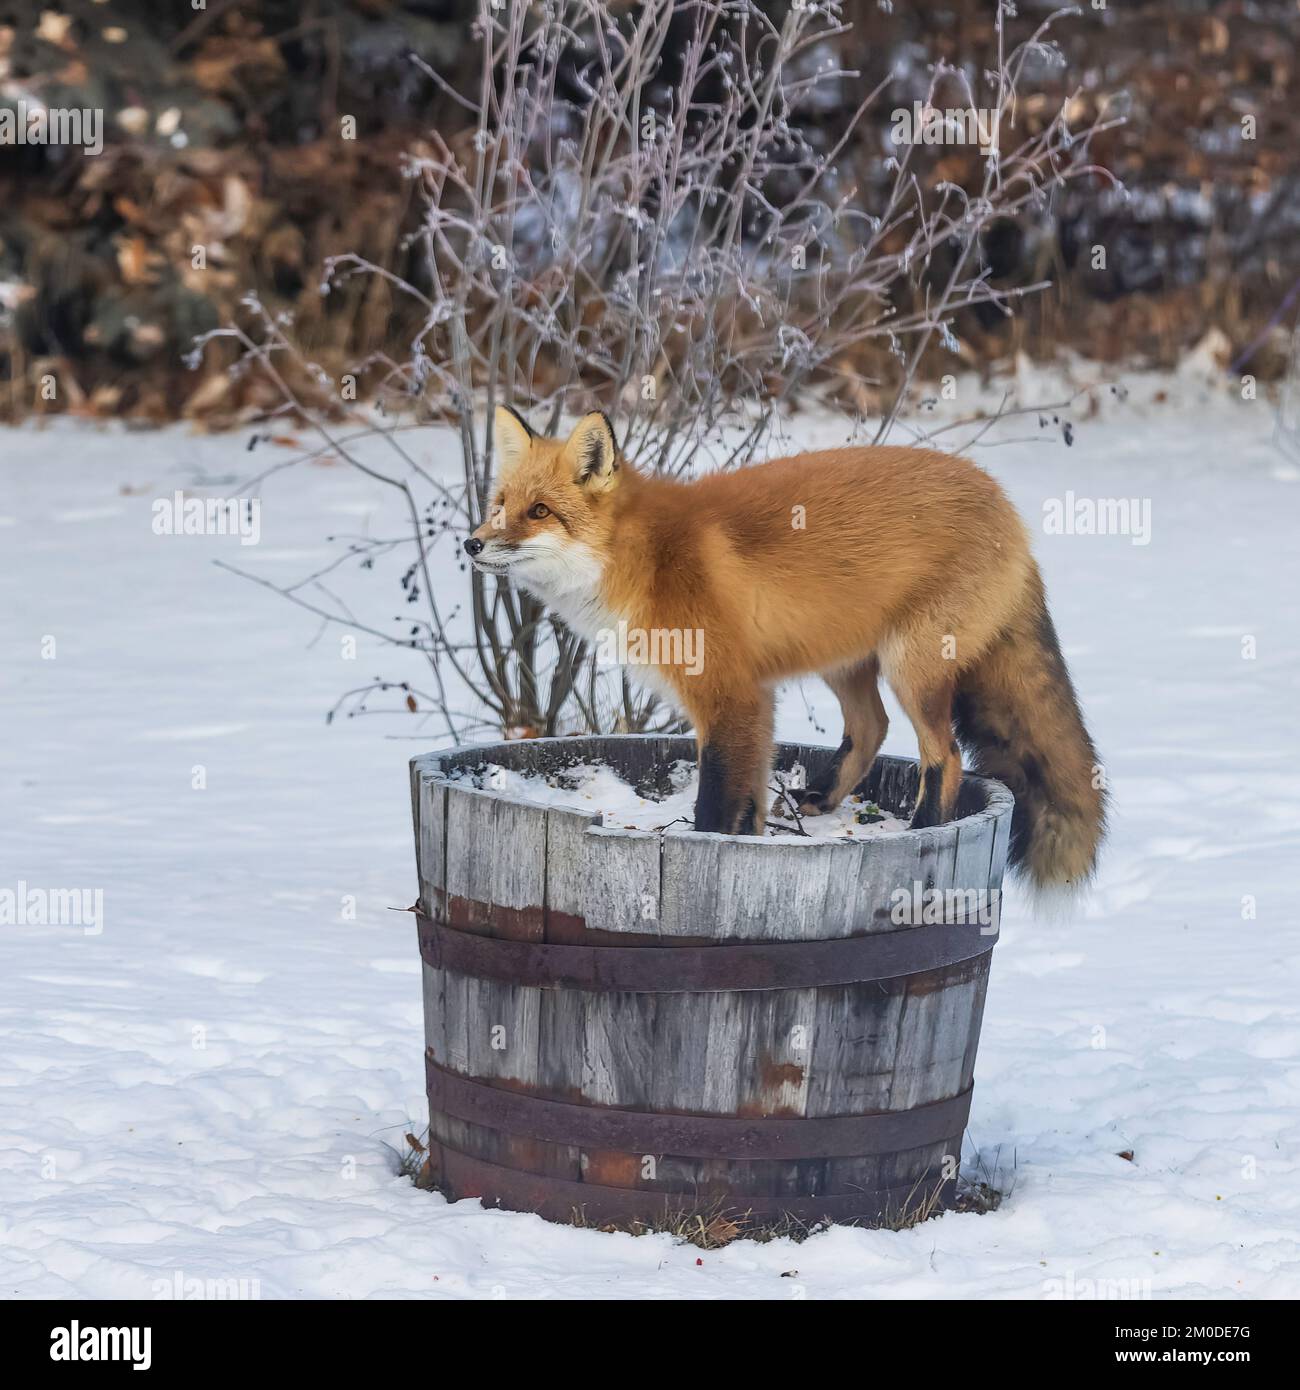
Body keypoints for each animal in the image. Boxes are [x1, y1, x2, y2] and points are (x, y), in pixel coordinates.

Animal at [464, 406, 1107, 894]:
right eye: (499, 504)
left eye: (539, 511)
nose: (472, 544)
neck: (645, 560)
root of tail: (1006, 505)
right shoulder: (754, 698)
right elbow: (749, 799)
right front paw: (754, 843)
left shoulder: (729, 694)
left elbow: (716, 803)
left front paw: (708, 849)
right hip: (845, 662)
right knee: (871, 728)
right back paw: (821, 799)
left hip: (911, 669)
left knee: (943, 756)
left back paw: (922, 830)